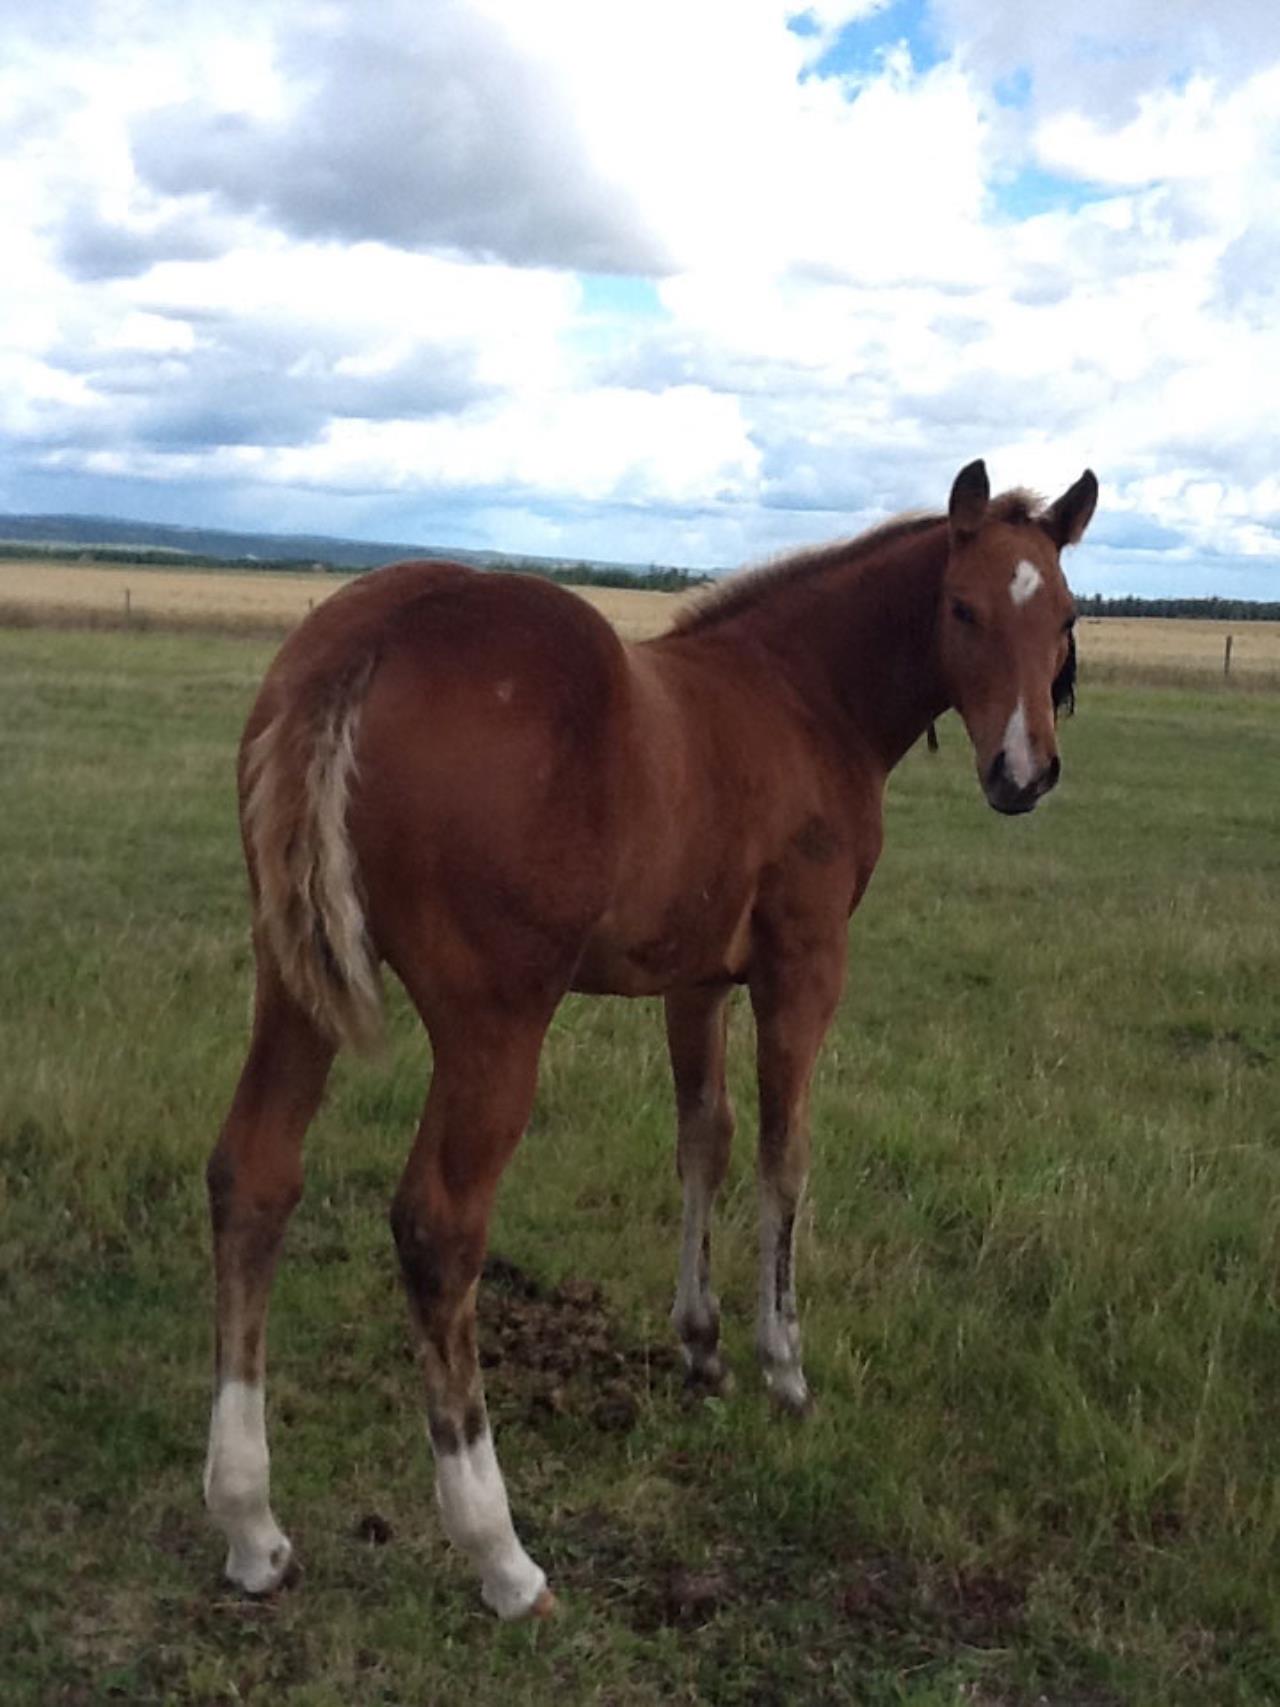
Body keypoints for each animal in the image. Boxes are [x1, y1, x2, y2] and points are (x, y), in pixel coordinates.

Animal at [203, 457, 1097, 1619]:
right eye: (961, 608)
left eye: (1065, 615)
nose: (1021, 774)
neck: (800, 694)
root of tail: (371, 634)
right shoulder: (803, 963)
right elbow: (783, 1153)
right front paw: (782, 1366)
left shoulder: (696, 978)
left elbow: (702, 1138)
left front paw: (700, 1346)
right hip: (496, 1020)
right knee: (439, 1229)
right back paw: (500, 1555)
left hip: (292, 984)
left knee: (253, 1176)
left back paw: (251, 1526)